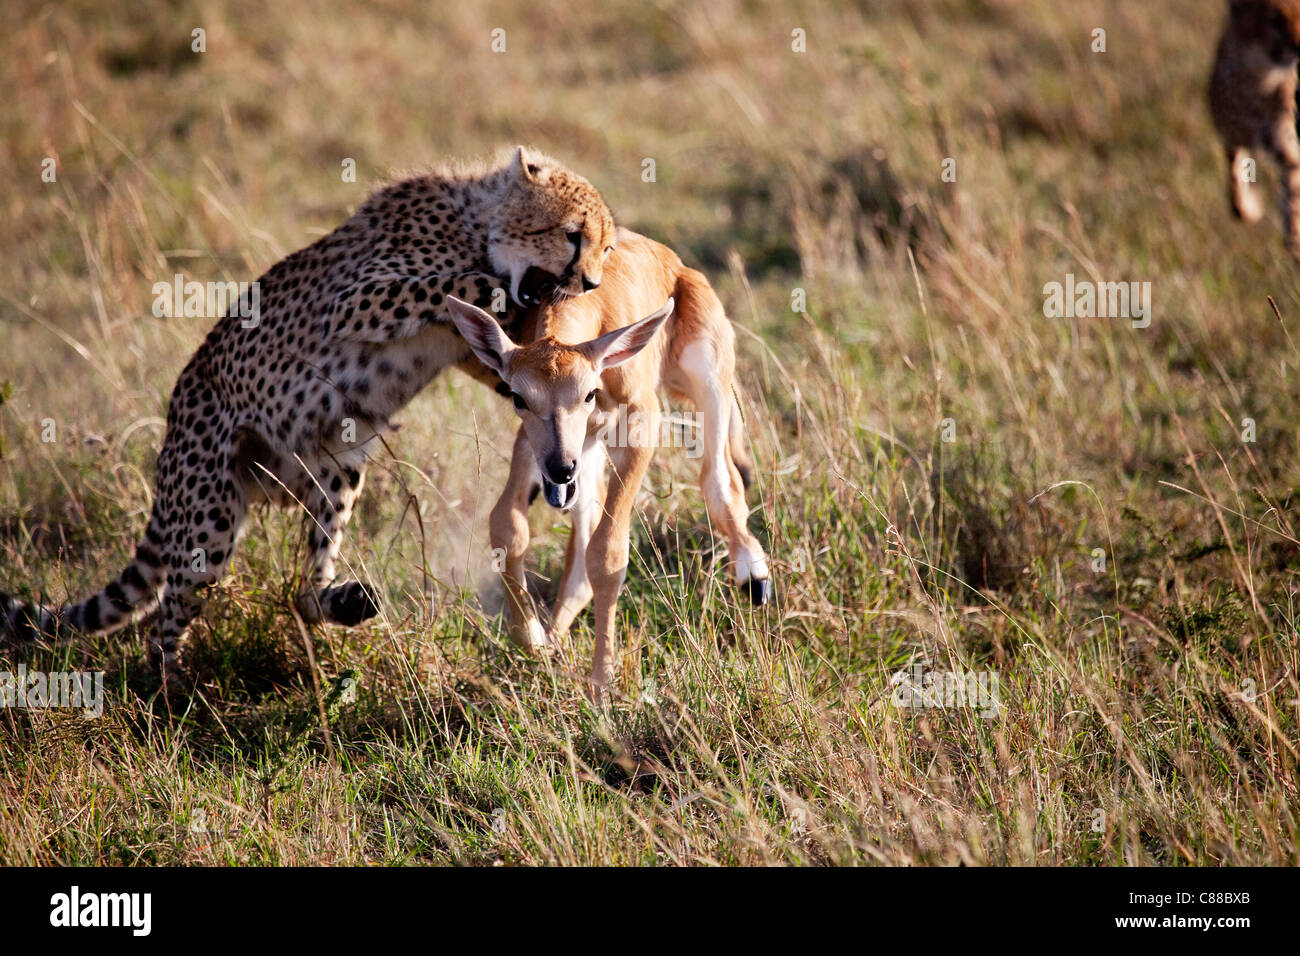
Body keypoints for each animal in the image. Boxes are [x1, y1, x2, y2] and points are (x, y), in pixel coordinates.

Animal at [0, 145, 617, 695]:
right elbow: (450, 285)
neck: (477, 221)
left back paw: (343, 601)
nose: (589, 283)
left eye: (606, 248)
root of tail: (174, 420)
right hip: (208, 517)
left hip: (336, 468)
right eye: (573, 234)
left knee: (300, 588)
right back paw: (170, 694)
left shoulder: (480, 355)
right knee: (166, 616)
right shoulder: (355, 301)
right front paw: (492, 288)